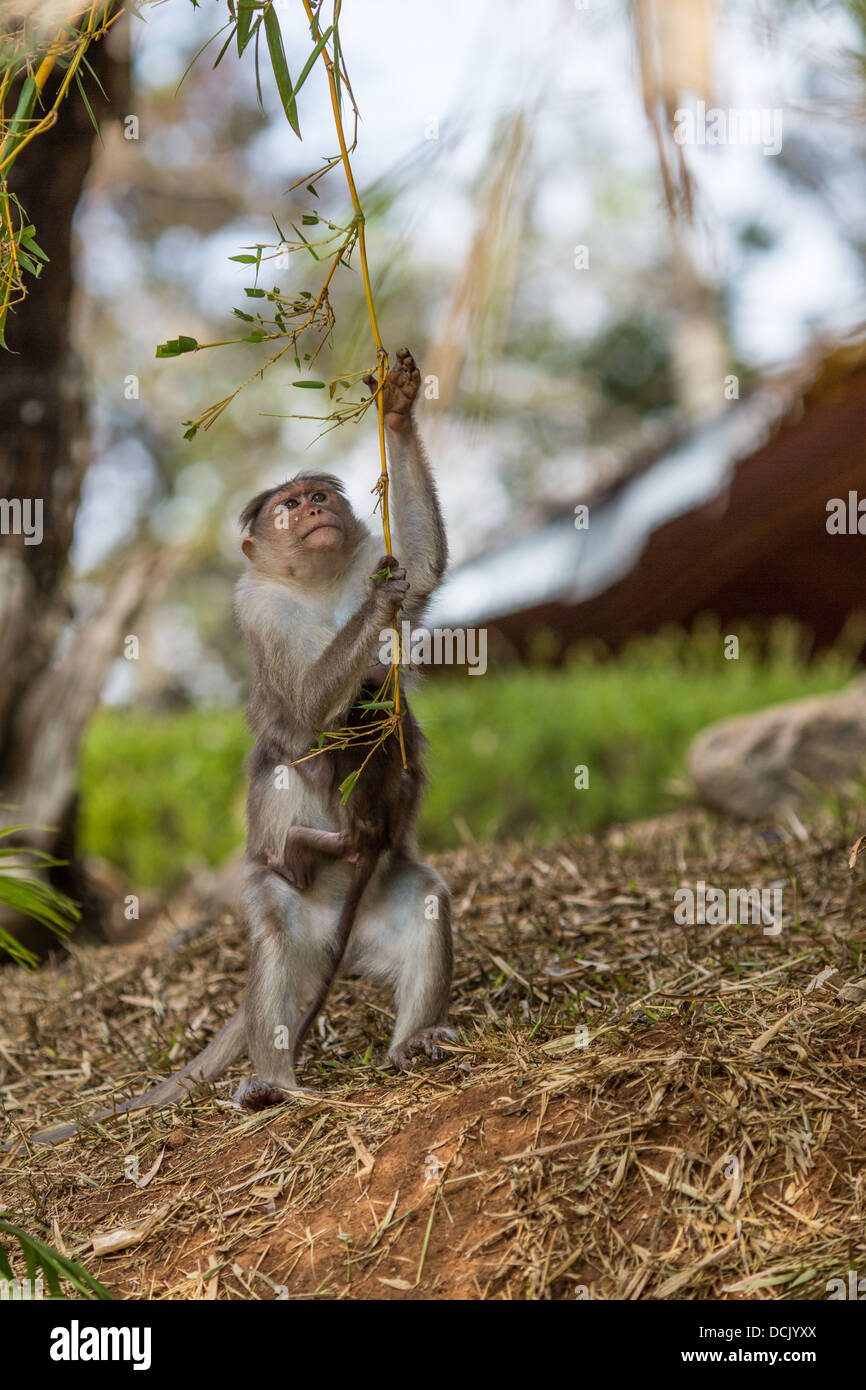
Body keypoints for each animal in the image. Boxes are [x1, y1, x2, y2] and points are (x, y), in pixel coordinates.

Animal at [5, 348, 454, 1146]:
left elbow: (423, 568)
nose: (314, 510)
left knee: (424, 897)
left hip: (379, 901)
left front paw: (399, 406)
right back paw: (276, 1080)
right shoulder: (259, 610)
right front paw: (374, 607)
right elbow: (302, 713)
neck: (319, 584)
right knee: (275, 924)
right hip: (286, 899)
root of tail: (342, 922)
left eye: (317, 495)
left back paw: (412, 1040)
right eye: (288, 508)